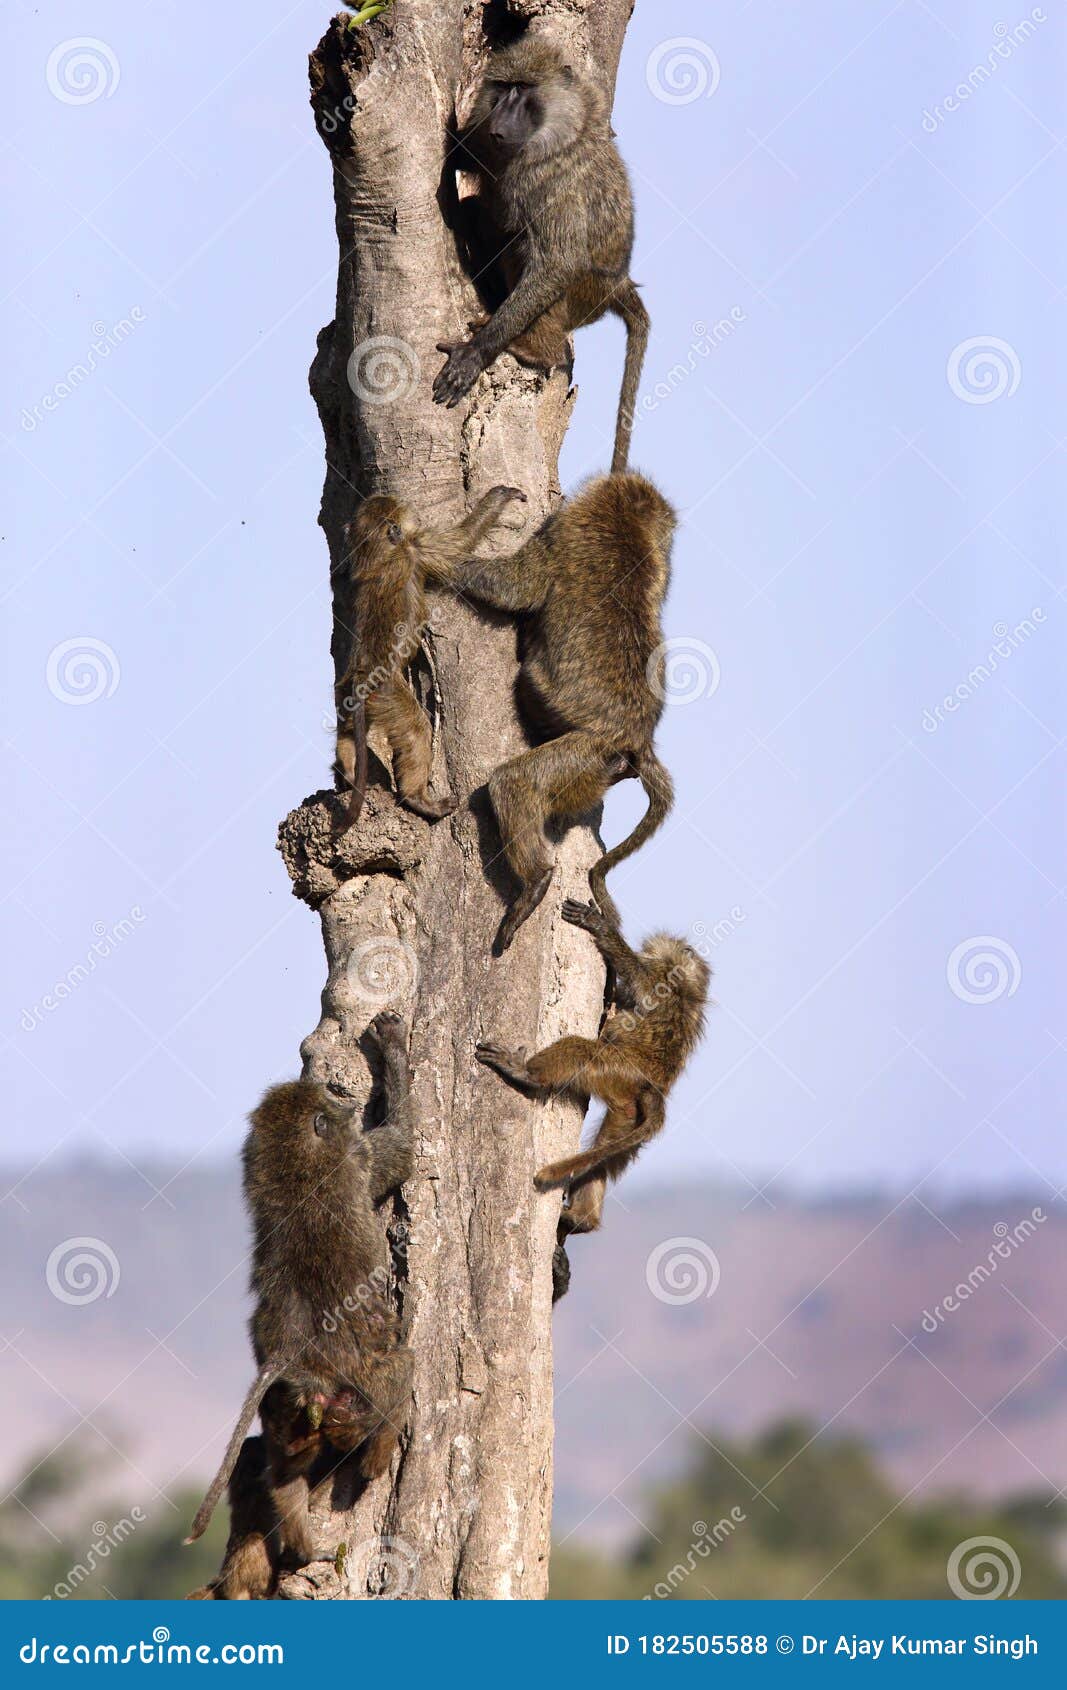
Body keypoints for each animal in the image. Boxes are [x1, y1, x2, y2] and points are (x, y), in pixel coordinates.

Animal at [186, 1010, 416, 1566]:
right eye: (331, 1099)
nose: (345, 1102)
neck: (293, 1167)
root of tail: (289, 1353)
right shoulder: (363, 1158)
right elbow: (402, 1137)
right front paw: (392, 1045)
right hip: (352, 1391)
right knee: (401, 1370)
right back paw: (379, 1452)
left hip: (285, 1409)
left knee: (283, 1471)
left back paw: (300, 1536)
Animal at [334, 486, 527, 827]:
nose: (414, 513)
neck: (379, 553)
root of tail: (361, 676)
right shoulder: (419, 547)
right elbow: (461, 539)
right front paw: (500, 496)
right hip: (387, 693)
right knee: (414, 729)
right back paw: (418, 798)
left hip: (347, 693)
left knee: (345, 728)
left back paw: (346, 764)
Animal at [430, 472, 675, 951]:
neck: (629, 529)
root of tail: (637, 737)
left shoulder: (561, 541)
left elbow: (515, 588)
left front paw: (458, 544)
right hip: (592, 763)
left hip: (584, 751)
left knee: (513, 781)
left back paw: (535, 883)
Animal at [434, 36, 649, 475]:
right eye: (502, 88)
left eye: (524, 90)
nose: (498, 126)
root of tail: (618, 281)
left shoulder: (552, 180)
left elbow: (557, 262)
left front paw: (475, 354)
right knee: (479, 211)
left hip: (585, 294)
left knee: (526, 244)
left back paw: (537, 348)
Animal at [477, 899, 710, 1236]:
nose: (677, 942)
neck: (690, 989)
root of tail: (654, 1089)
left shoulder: (658, 977)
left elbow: (634, 972)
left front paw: (599, 925)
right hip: (628, 1109)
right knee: (604, 1153)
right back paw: (582, 1219)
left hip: (613, 1068)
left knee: (576, 1050)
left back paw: (525, 1072)